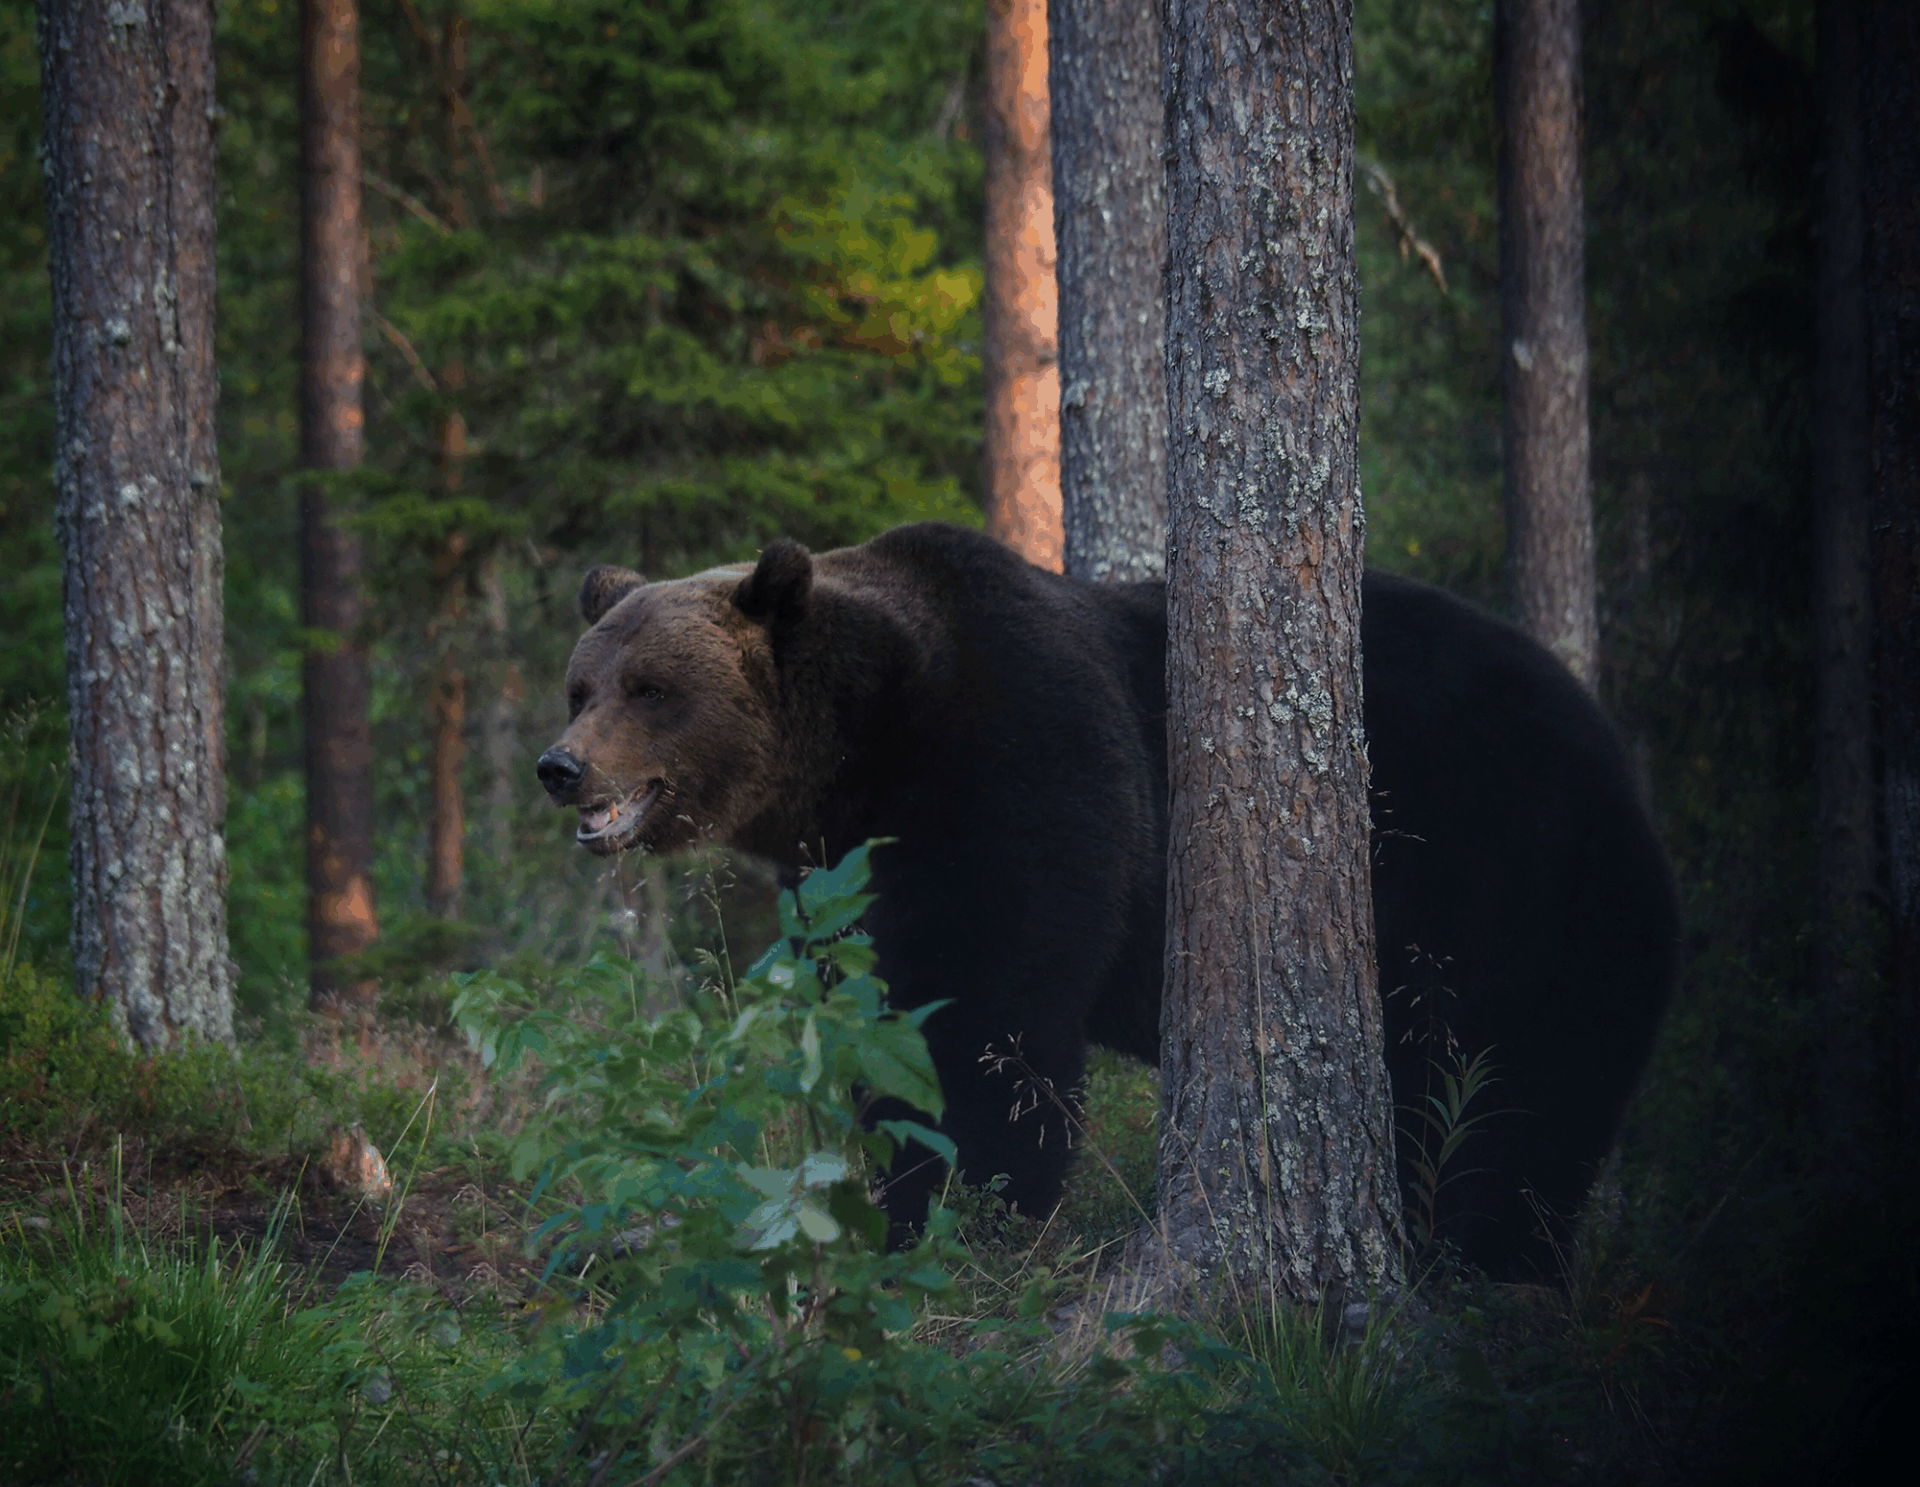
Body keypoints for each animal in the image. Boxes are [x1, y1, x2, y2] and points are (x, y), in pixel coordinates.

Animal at [536, 520, 1680, 1277]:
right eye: (582, 685)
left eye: (651, 687)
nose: (561, 767)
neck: (859, 749)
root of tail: (1613, 745)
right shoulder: (848, 871)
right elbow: (888, 1022)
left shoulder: (1021, 771)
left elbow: (986, 1031)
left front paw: (961, 1212)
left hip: (1513, 874)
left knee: (1520, 1086)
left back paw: (1487, 1252)